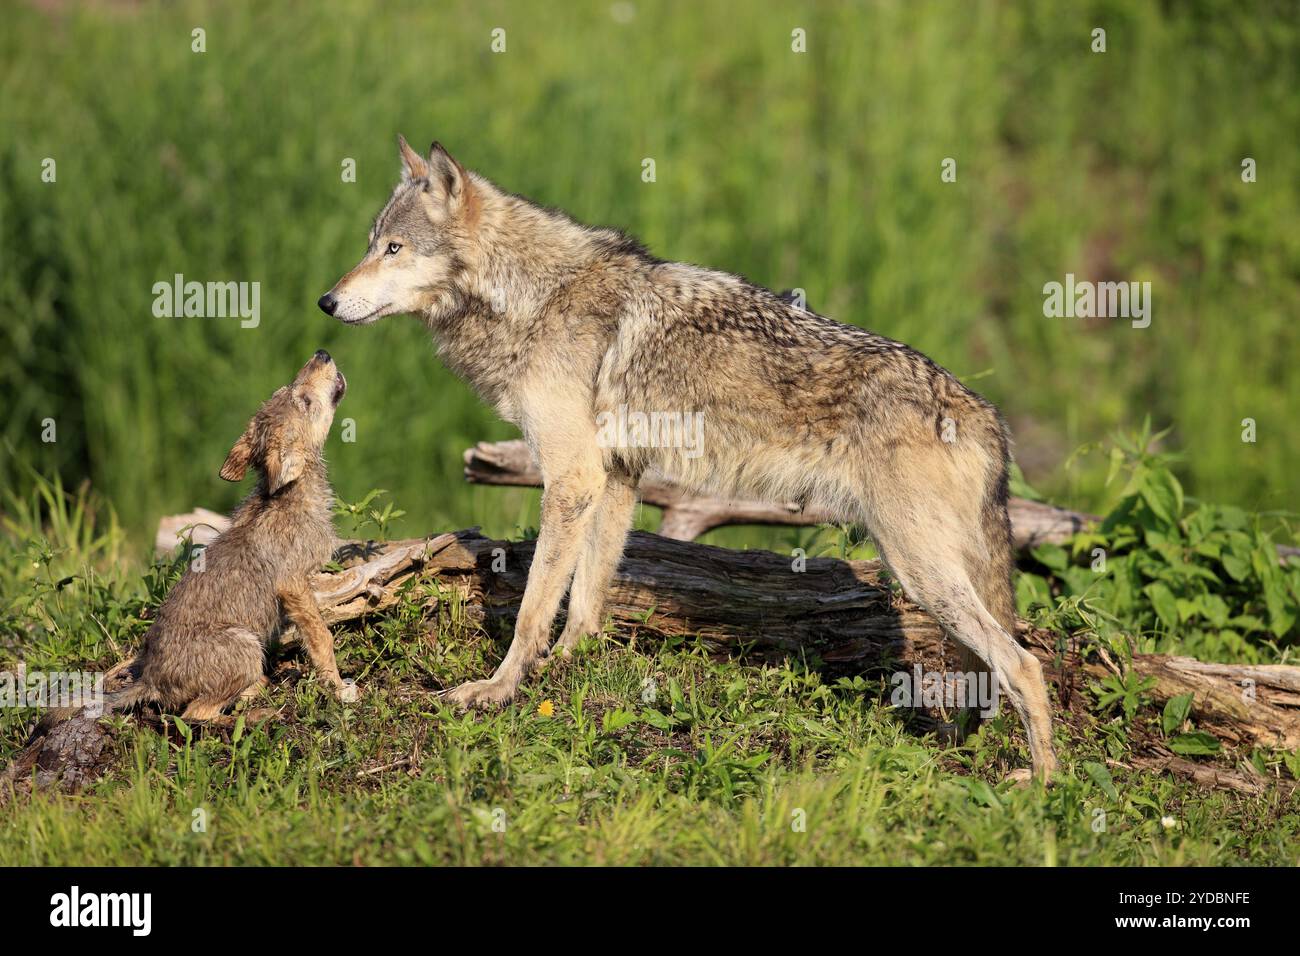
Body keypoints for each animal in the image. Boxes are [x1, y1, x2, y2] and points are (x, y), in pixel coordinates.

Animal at [319, 137, 1057, 779]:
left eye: (394, 248)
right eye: (369, 245)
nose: (326, 300)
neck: (532, 297)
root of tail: (984, 413)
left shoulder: (572, 478)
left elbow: (533, 607)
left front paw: (497, 690)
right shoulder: (616, 477)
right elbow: (586, 595)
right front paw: (569, 664)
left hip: (918, 568)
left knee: (1023, 665)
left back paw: (1043, 783)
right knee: (987, 667)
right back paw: (963, 748)